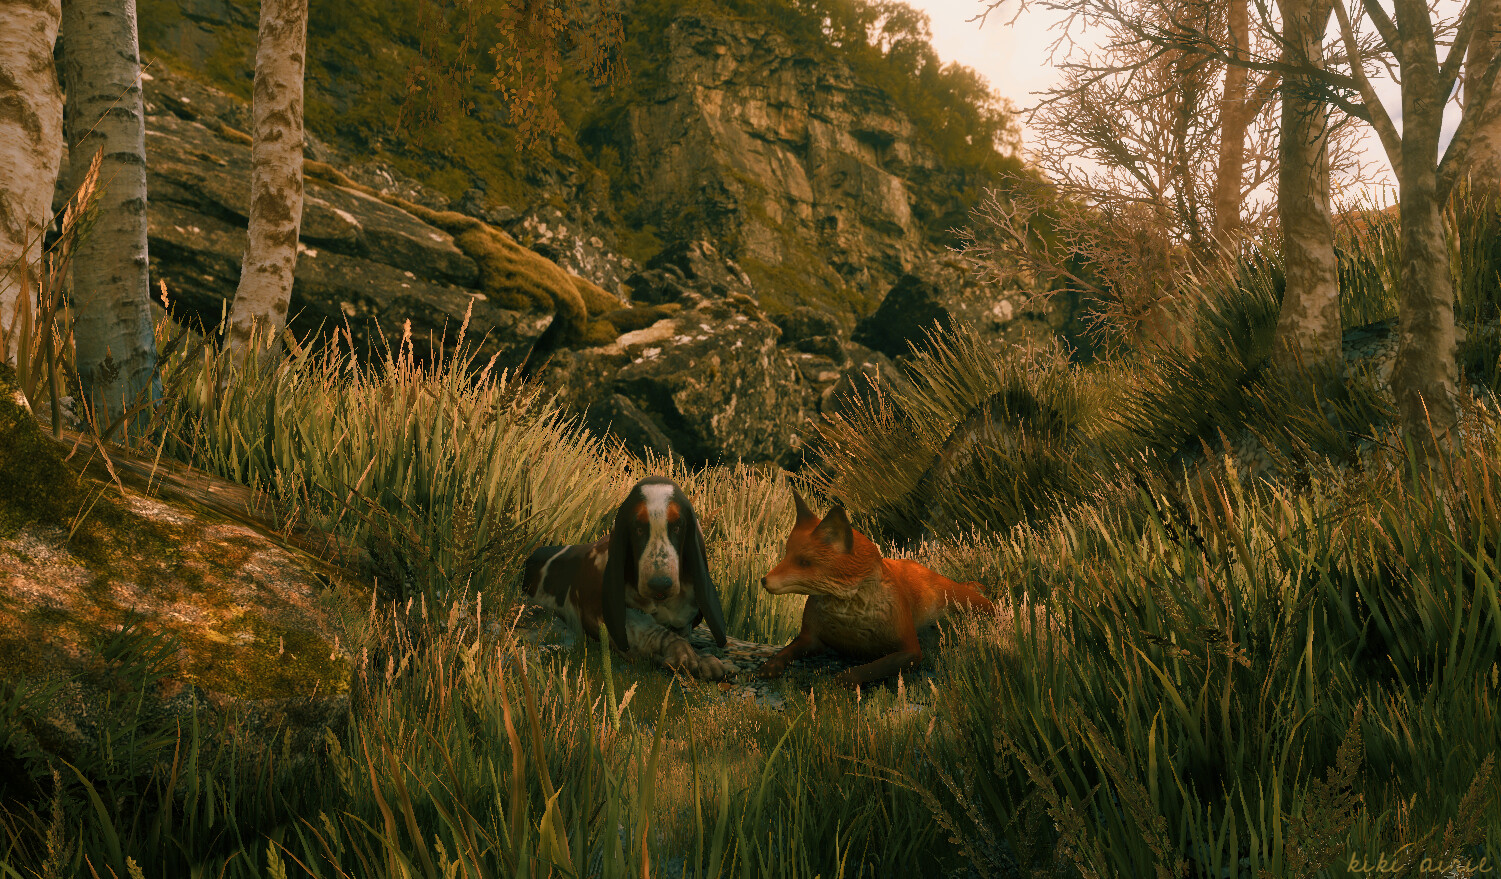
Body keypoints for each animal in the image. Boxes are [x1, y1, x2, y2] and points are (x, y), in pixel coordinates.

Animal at [755, 490, 995, 688]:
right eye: (786, 555)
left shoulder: (910, 651)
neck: (848, 619)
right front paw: (770, 666)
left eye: (803, 562)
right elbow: (786, 651)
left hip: (969, 604)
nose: (763, 580)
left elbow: (866, 669)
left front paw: (840, 680)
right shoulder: (810, 637)